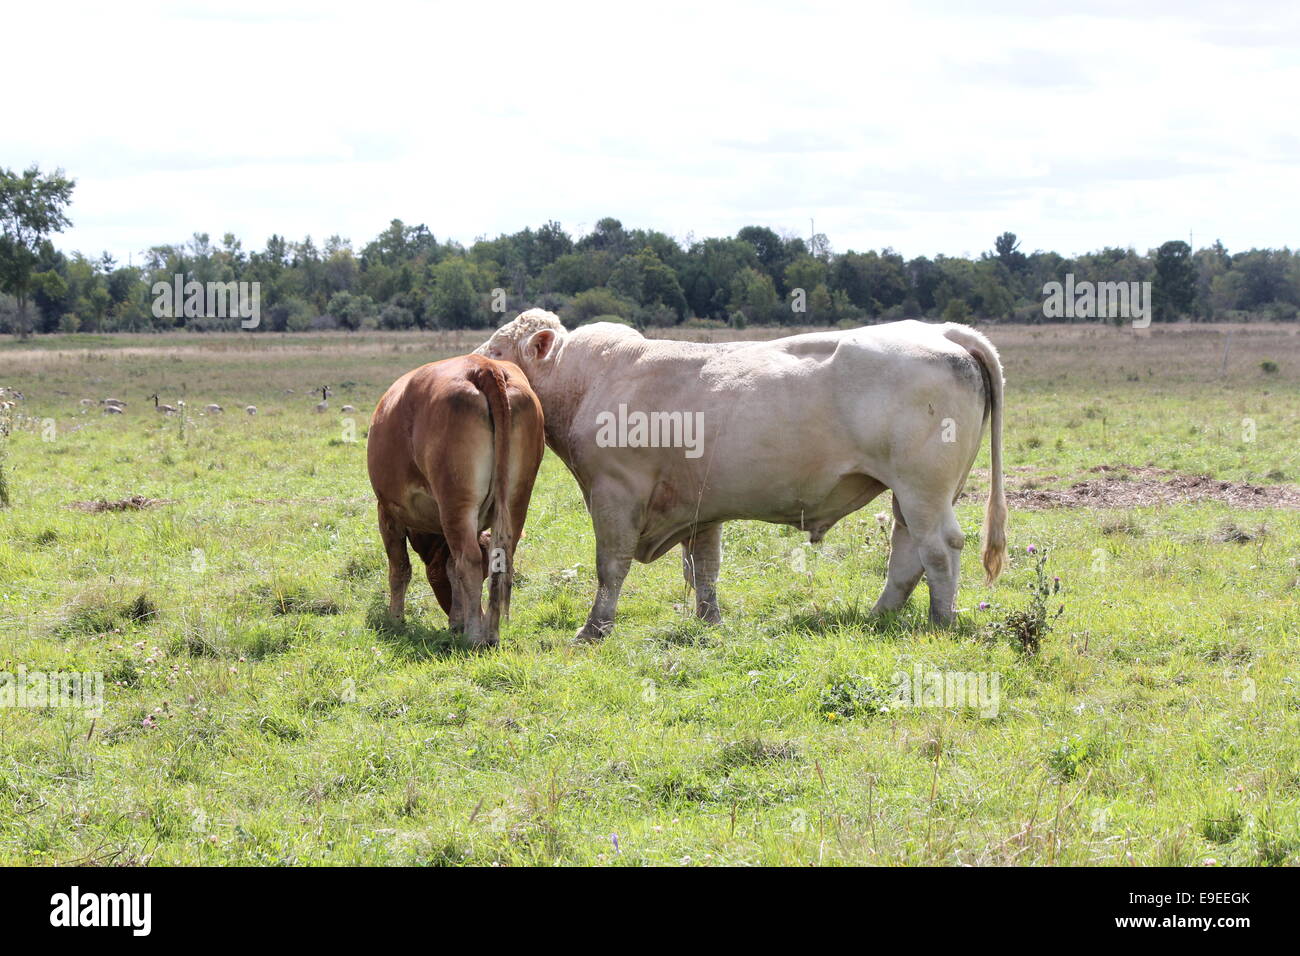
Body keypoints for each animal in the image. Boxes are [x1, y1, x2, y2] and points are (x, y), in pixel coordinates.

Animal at [367, 355, 545, 648]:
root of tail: (483, 366)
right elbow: (451, 568)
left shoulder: (388, 512)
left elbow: (400, 569)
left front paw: (395, 619)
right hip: (516, 498)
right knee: (502, 557)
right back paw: (491, 631)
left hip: (456, 502)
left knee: (467, 560)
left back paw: (474, 635)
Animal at [474, 310, 1006, 642]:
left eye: (498, 348)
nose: (474, 362)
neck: (586, 381)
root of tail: (941, 332)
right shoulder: (699, 505)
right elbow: (705, 569)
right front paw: (709, 624)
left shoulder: (614, 493)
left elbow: (611, 566)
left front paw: (593, 630)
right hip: (908, 493)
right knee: (906, 552)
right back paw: (879, 617)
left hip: (923, 488)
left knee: (938, 549)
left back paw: (941, 621)